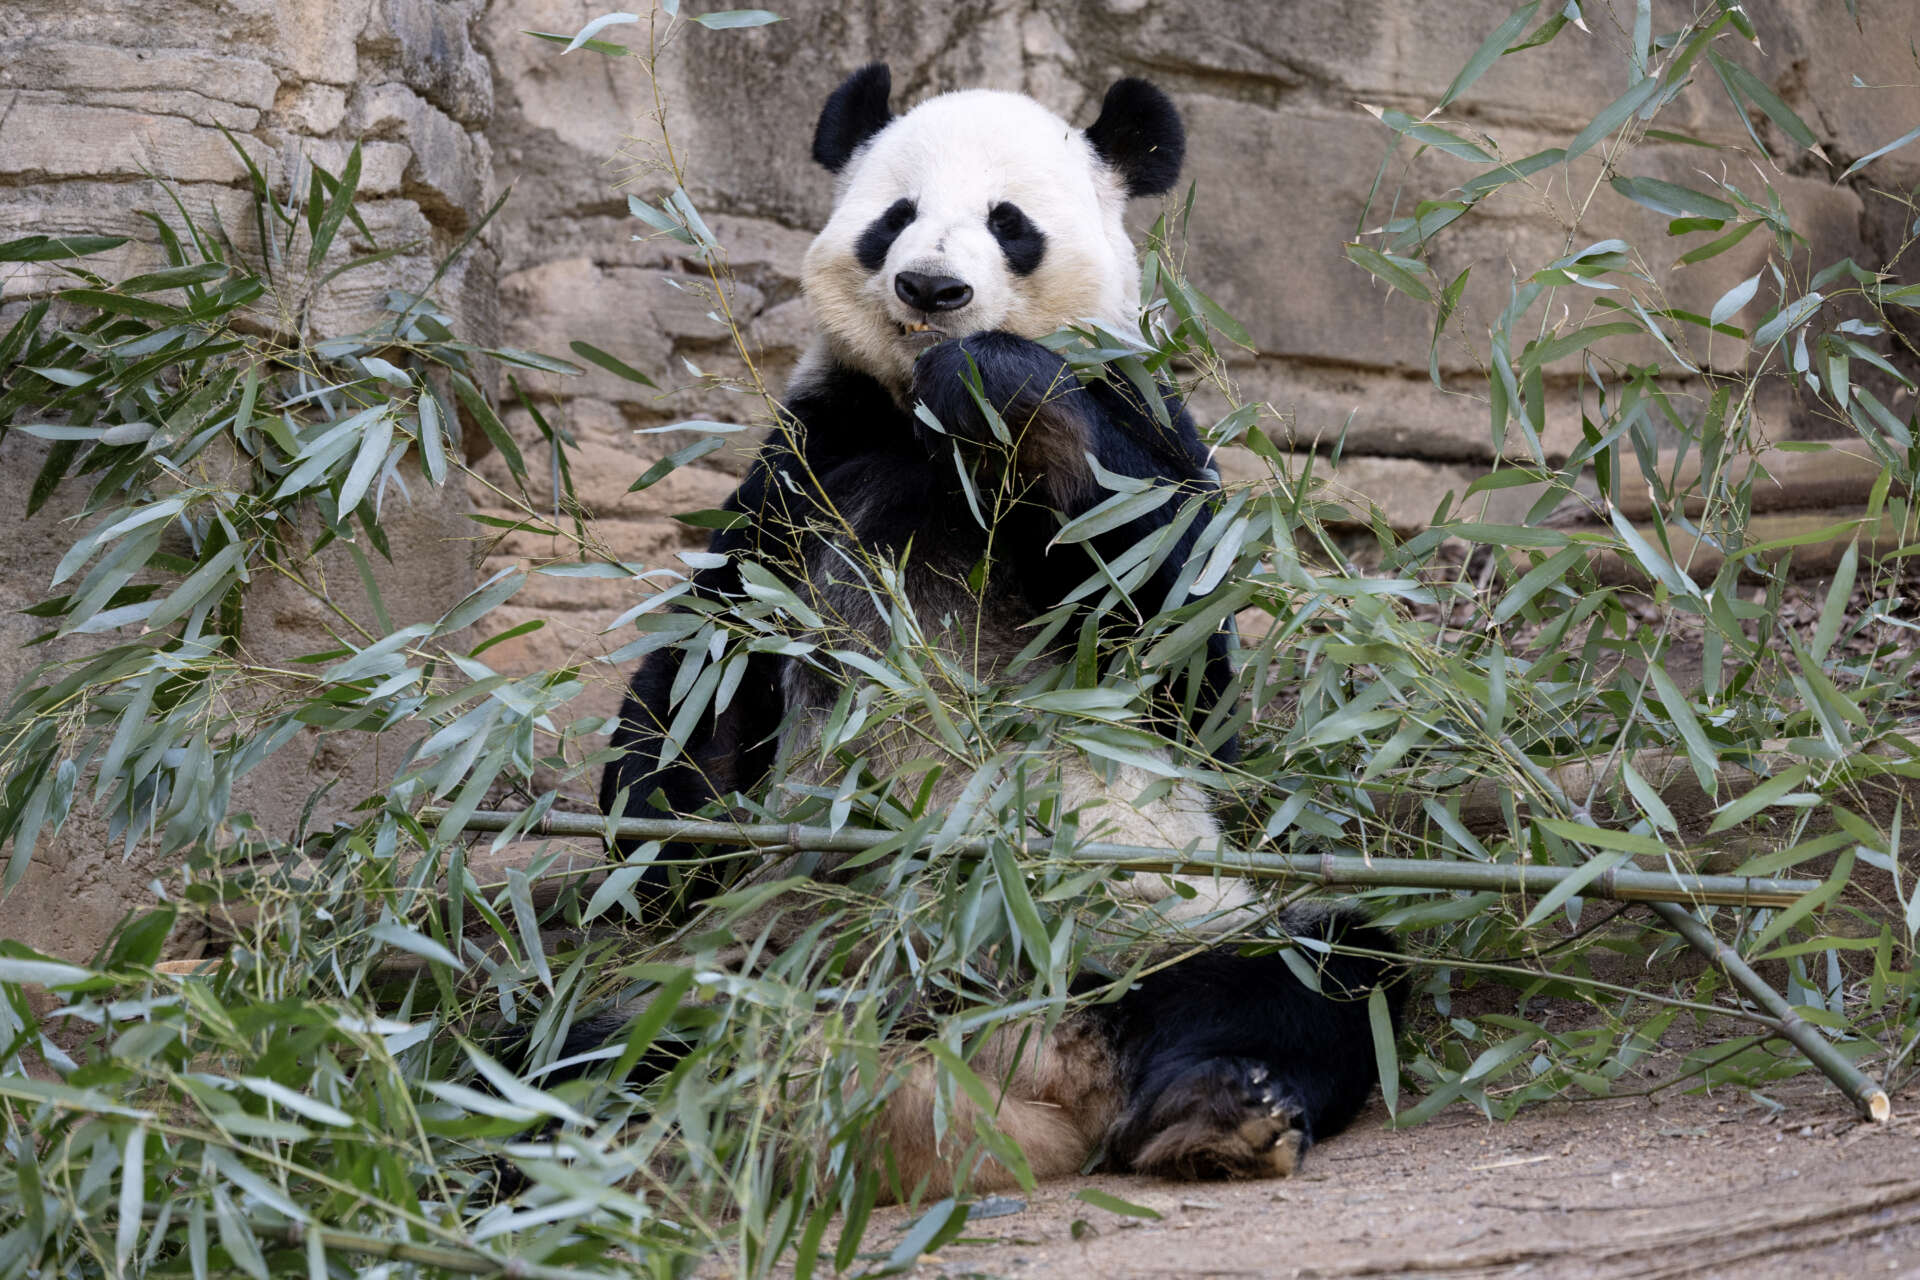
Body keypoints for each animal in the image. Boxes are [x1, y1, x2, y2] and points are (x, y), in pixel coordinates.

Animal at [591, 64, 1404, 1193]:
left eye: (1008, 223)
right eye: (894, 218)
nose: (933, 290)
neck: (933, 435)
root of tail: (1021, 1069)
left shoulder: (1148, 427)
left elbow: (1186, 671)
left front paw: (1001, 383)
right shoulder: (806, 473)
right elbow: (700, 696)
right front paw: (657, 833)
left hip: (1172, 913)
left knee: (1322, 966)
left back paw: (1216, 1114)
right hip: (756, 957)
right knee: (584, 1051)